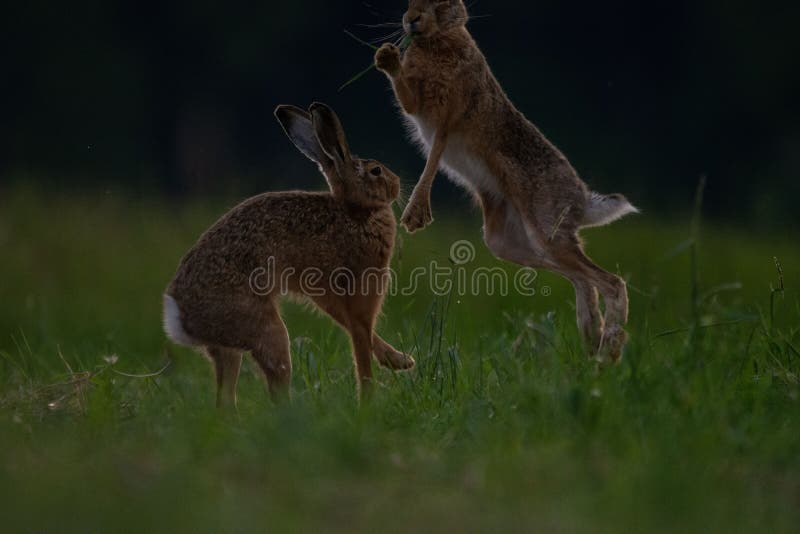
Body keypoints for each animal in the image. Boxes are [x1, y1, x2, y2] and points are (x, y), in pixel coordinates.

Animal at [163, 102, 414, 407]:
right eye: (376, 171)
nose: (397, 184)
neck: (355, 211)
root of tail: (179, 315)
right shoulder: (359, 294)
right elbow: (361, 345)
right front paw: (368, 401)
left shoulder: (329, 298)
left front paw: (401, 361)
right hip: (268, 331)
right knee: (277, 389)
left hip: (227, 348)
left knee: (225, 399)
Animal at [374, 0, 638, 362]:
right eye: (410, 1)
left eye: (444, 4)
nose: (411, 20)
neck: (441, 40)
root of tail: (581, 200)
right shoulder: (419, 104)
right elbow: (405, 95)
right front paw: (385, 55)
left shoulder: (446, 116)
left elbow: (432, 160)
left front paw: (416, 215)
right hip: (508, 241)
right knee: (583, 280)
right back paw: (592, 341)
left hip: (545, 229)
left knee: (610, 283)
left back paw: (608, 349)